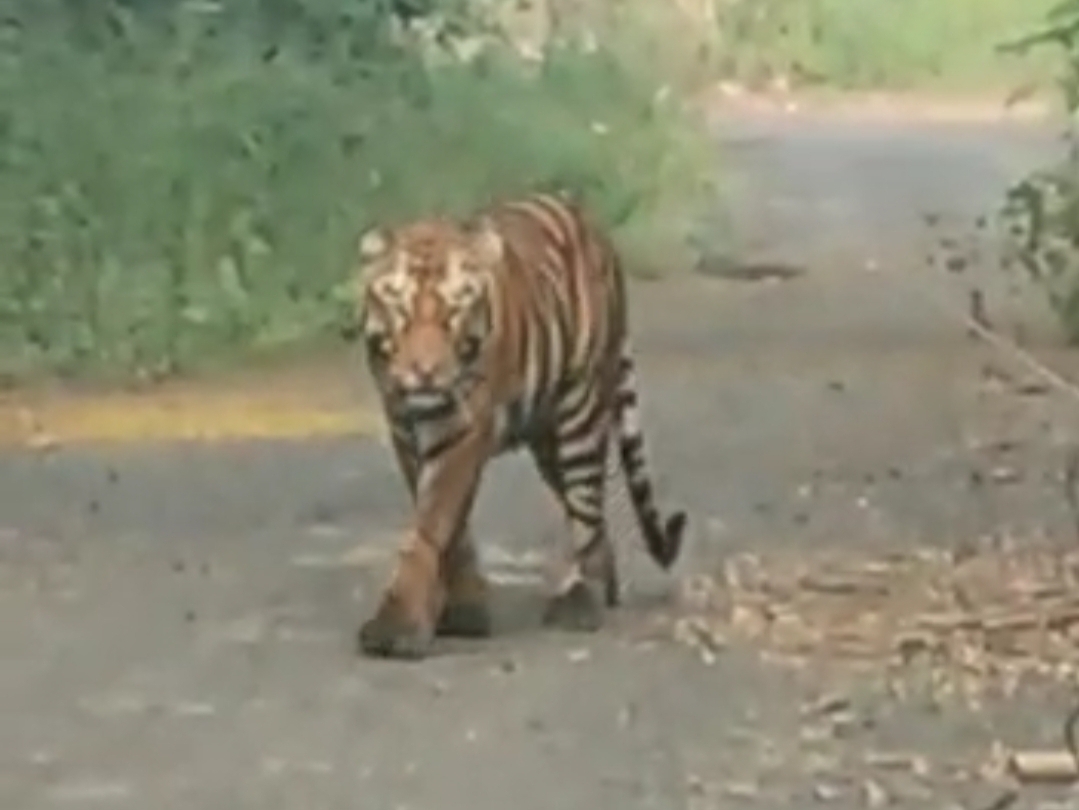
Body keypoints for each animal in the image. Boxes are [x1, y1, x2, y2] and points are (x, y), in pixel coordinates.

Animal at [352, 191, 686, 659]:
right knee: (585, 508)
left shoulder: (460, 431)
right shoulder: (405, 432)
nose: (425, 372)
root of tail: (596, 230)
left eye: (456, 308)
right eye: (399, 305)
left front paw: (398, 626)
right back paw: (605, 584)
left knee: (585, 505)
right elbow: (452, 529)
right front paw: (464, 609)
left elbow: (432, 525)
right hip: (547, 442)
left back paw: (582, 599)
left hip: (579, 411)